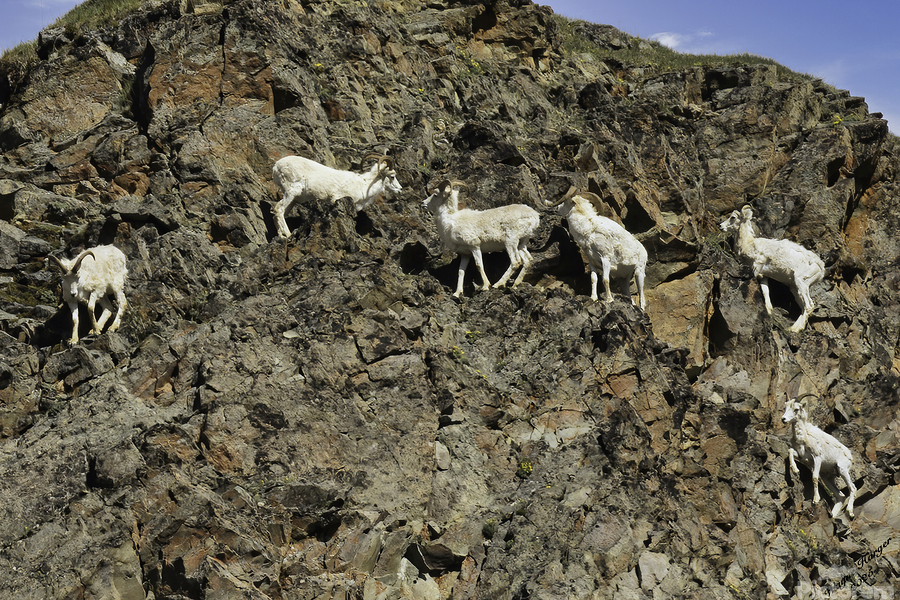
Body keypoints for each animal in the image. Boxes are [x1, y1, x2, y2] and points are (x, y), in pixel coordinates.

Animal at [272, 154, 402, 238]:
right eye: (392, 176)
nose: (400, 190)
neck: (363, 185)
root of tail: (276, 166)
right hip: (291, 192)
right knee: (279, 209)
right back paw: (288, 235)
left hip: (293, 199)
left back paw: (281, 235)